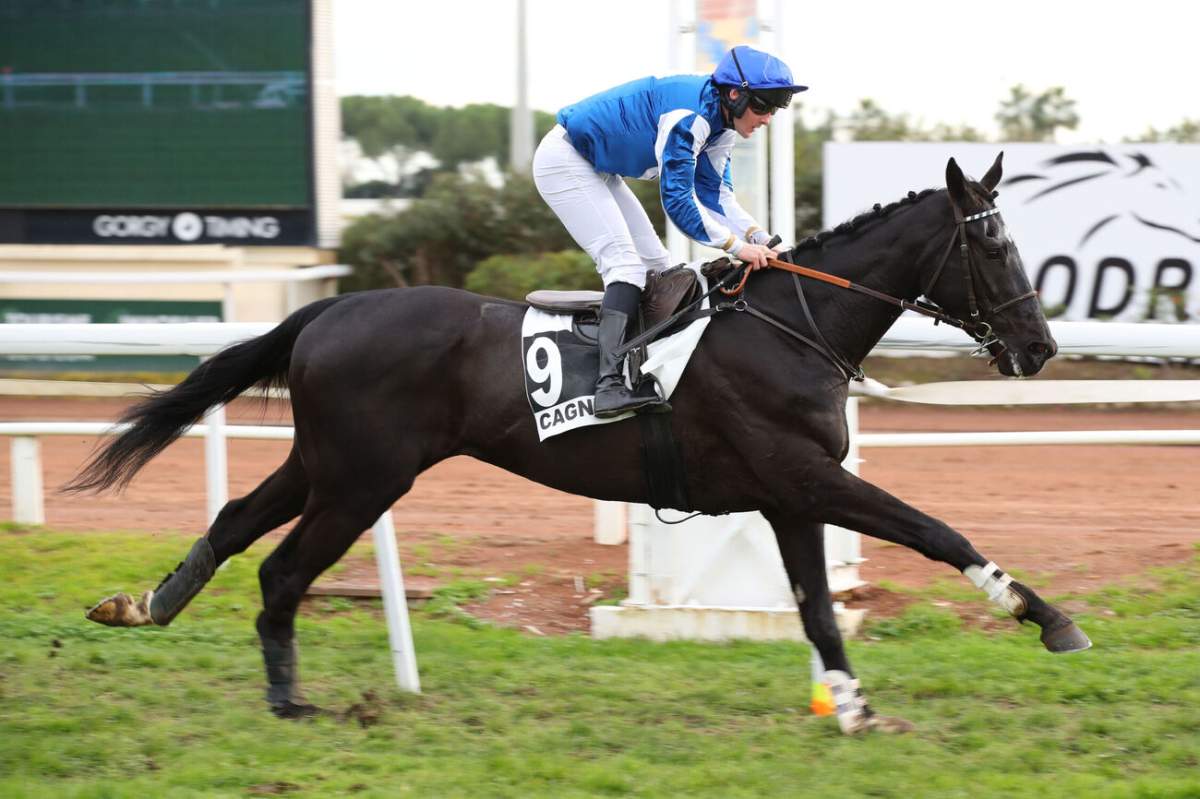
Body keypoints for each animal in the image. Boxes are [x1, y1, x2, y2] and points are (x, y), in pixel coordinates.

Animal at [73, 153, 1090, 735]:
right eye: (993, 249)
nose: (1039, 347)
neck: (791, 326)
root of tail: (327, 308)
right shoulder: (803, 476)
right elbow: (936, 531)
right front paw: (1046, 616)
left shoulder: (787, 494)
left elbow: (817, 610)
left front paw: (849, 706)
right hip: (364, 478)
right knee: (282, 569)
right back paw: (290, 700)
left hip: (325, 463)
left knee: (236, 518)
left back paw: (148, 604)